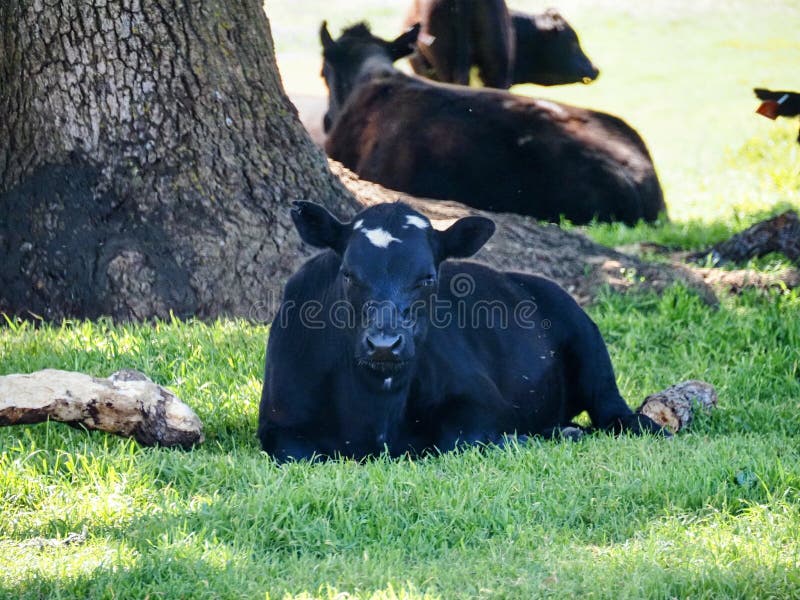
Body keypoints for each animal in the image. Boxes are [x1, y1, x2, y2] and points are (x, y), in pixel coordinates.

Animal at [257, 201, 666, 462]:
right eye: (348, 273)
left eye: (427, 277)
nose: (384, 345)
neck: (376, 411)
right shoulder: (278, 423)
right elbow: (301, 454)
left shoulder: (480, 402)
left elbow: (459, 441)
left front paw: (527, 438)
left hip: (592, 352)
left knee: (616, 413)